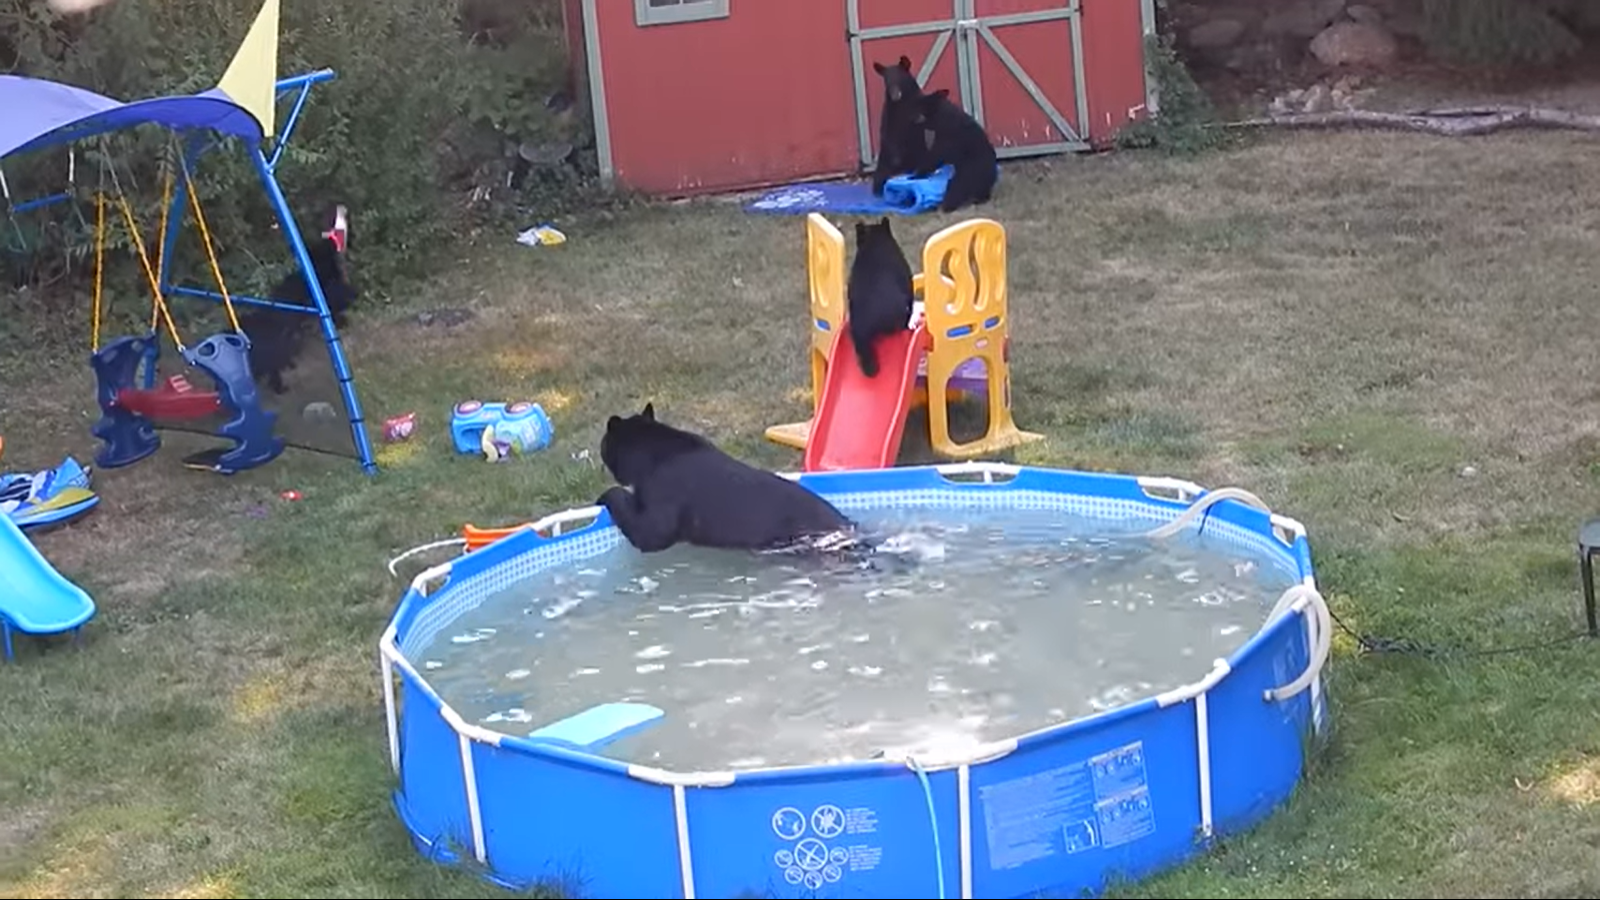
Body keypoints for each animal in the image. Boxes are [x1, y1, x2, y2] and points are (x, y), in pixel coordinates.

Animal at [871, 55, 933, 196]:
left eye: (901, 78)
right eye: (886, 80)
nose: (895, 95)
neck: (901, 103)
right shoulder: (889, 118)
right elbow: (888, 136)